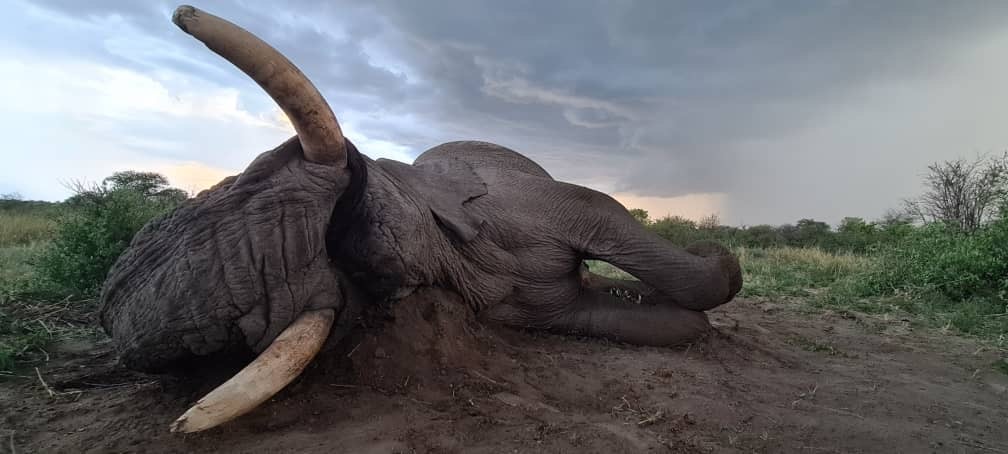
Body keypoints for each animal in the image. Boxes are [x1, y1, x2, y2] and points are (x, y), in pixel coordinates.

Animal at [98, 5, 742, 433]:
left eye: (254, 173)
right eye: (370, 273)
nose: (109, 307)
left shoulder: (524, 202)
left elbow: (604, 216)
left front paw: (718, 262)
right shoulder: (519, 305)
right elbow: (624, 318)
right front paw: (684, 308)